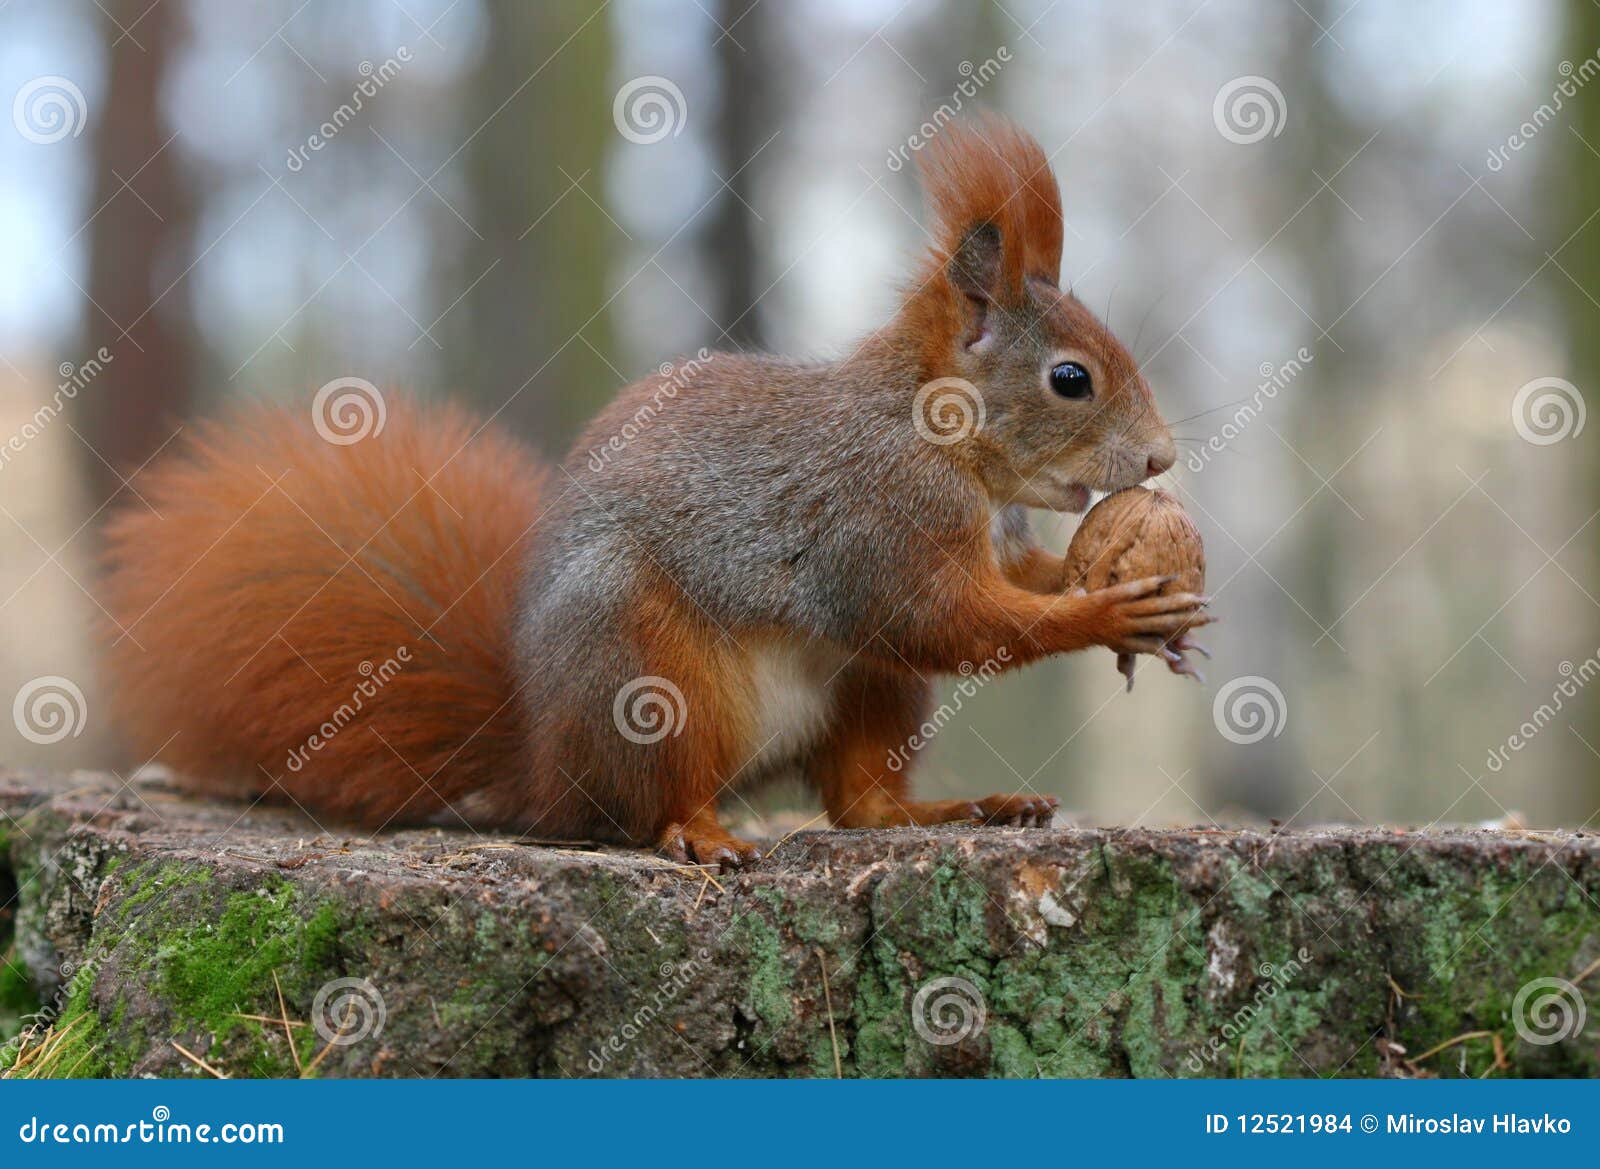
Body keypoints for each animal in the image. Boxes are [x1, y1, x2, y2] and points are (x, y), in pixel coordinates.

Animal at [99, 116, 1211, 870]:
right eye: (1071, 378)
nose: (1160, 459)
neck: (938, 436)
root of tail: (544, 763)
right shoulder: (876, 520)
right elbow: (942, 615)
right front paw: (1105, 610)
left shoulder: (992, 533)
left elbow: (1017, 577)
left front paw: (1138, 602)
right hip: (647, 668)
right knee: (648, 807)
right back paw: (702, 832)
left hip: (868, 688)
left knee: (858, 802)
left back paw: (954, 810)